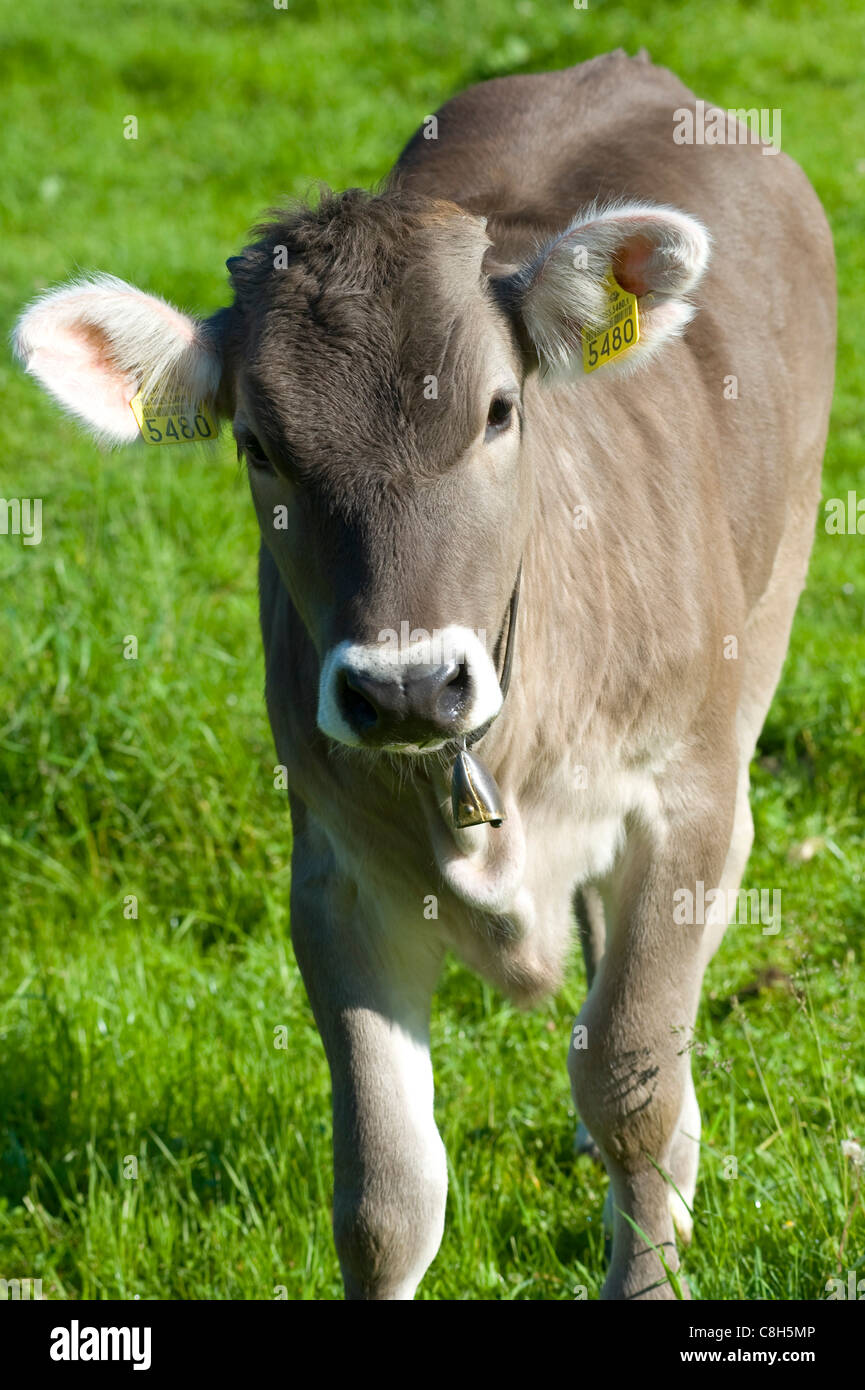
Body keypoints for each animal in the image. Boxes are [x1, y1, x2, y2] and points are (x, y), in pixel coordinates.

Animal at [14, 50, 835, 1299]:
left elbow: (632, 1078)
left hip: (765, 623)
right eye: (257, 444)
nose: (404, 689)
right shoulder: (335, 870)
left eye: (499, 409)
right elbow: (387, 1196)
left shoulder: (681, 809)